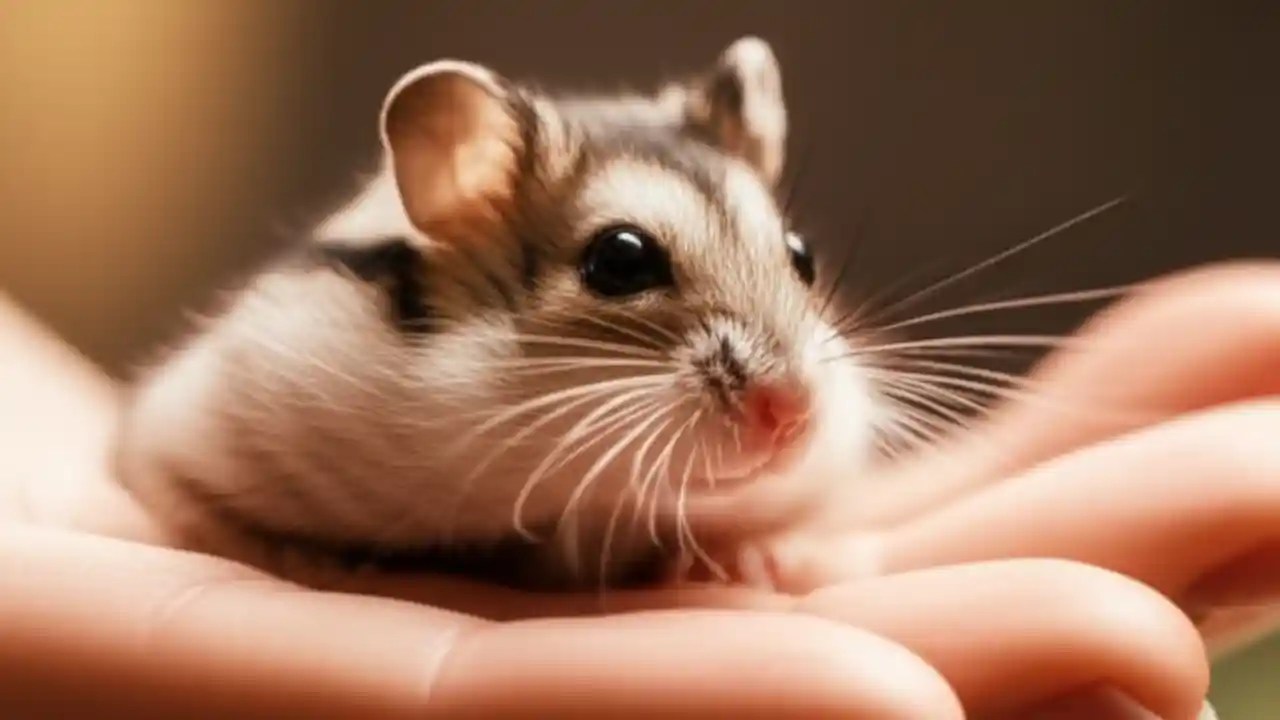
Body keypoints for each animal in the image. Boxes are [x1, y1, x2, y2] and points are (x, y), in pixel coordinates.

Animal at [113, 37, 881, 591]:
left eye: (802, 256)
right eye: (622, 260)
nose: (793, 413)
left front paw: (756, 561)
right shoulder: (182, 421)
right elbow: (178, 491)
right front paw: (312, 563)